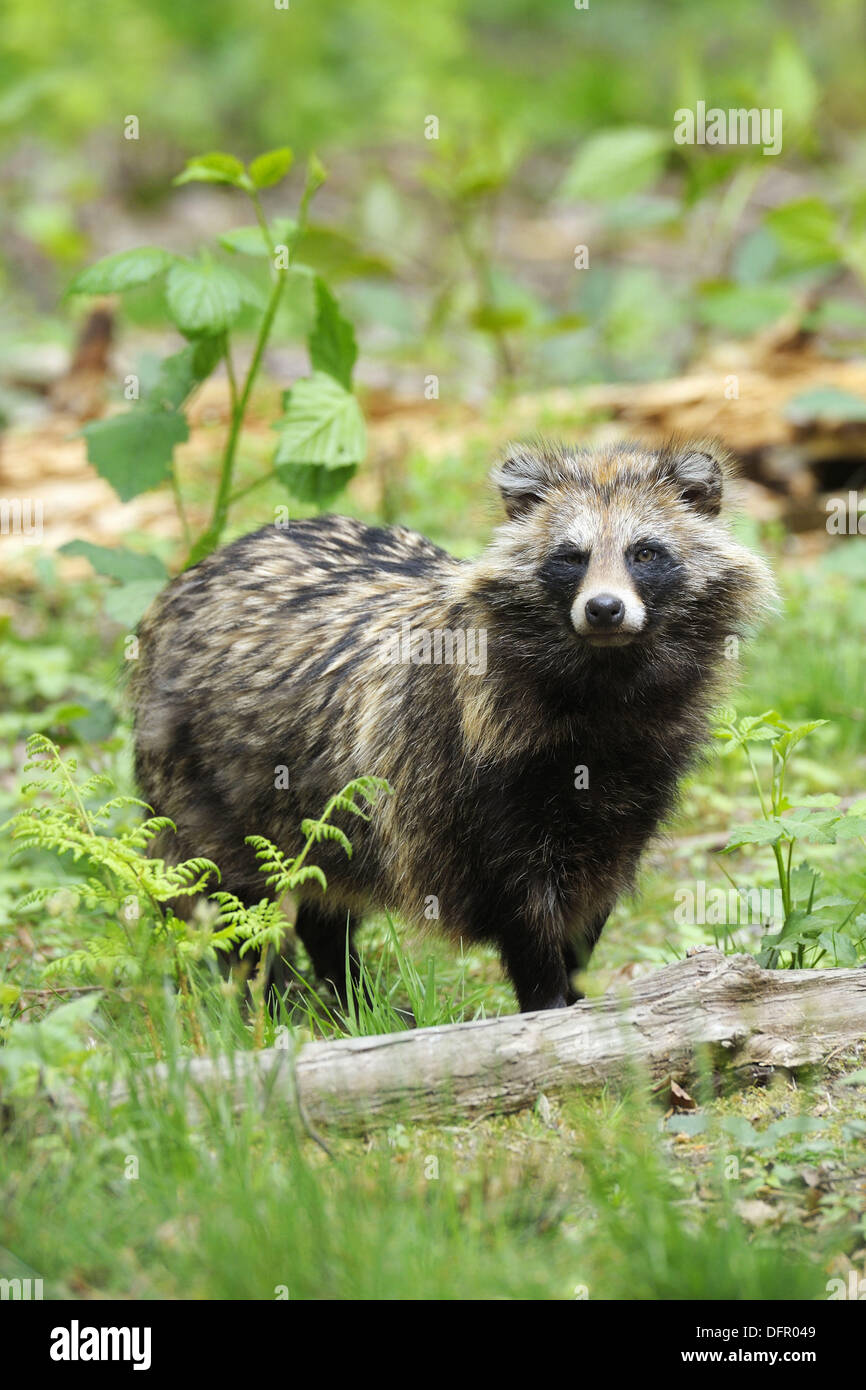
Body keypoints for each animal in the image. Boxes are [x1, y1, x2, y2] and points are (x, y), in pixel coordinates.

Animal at [131, 439, 775, 1013]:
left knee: (324, 893)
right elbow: (521, 908)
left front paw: (576, 988)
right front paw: (547, 1003)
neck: (603, 683)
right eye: (570, 556)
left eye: (646, 553)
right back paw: (265, 995)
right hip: (207, 777)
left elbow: (593, 898)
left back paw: (350, 996)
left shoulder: (636, 780)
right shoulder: (469, 772)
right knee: (233, 895)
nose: (604, 609)